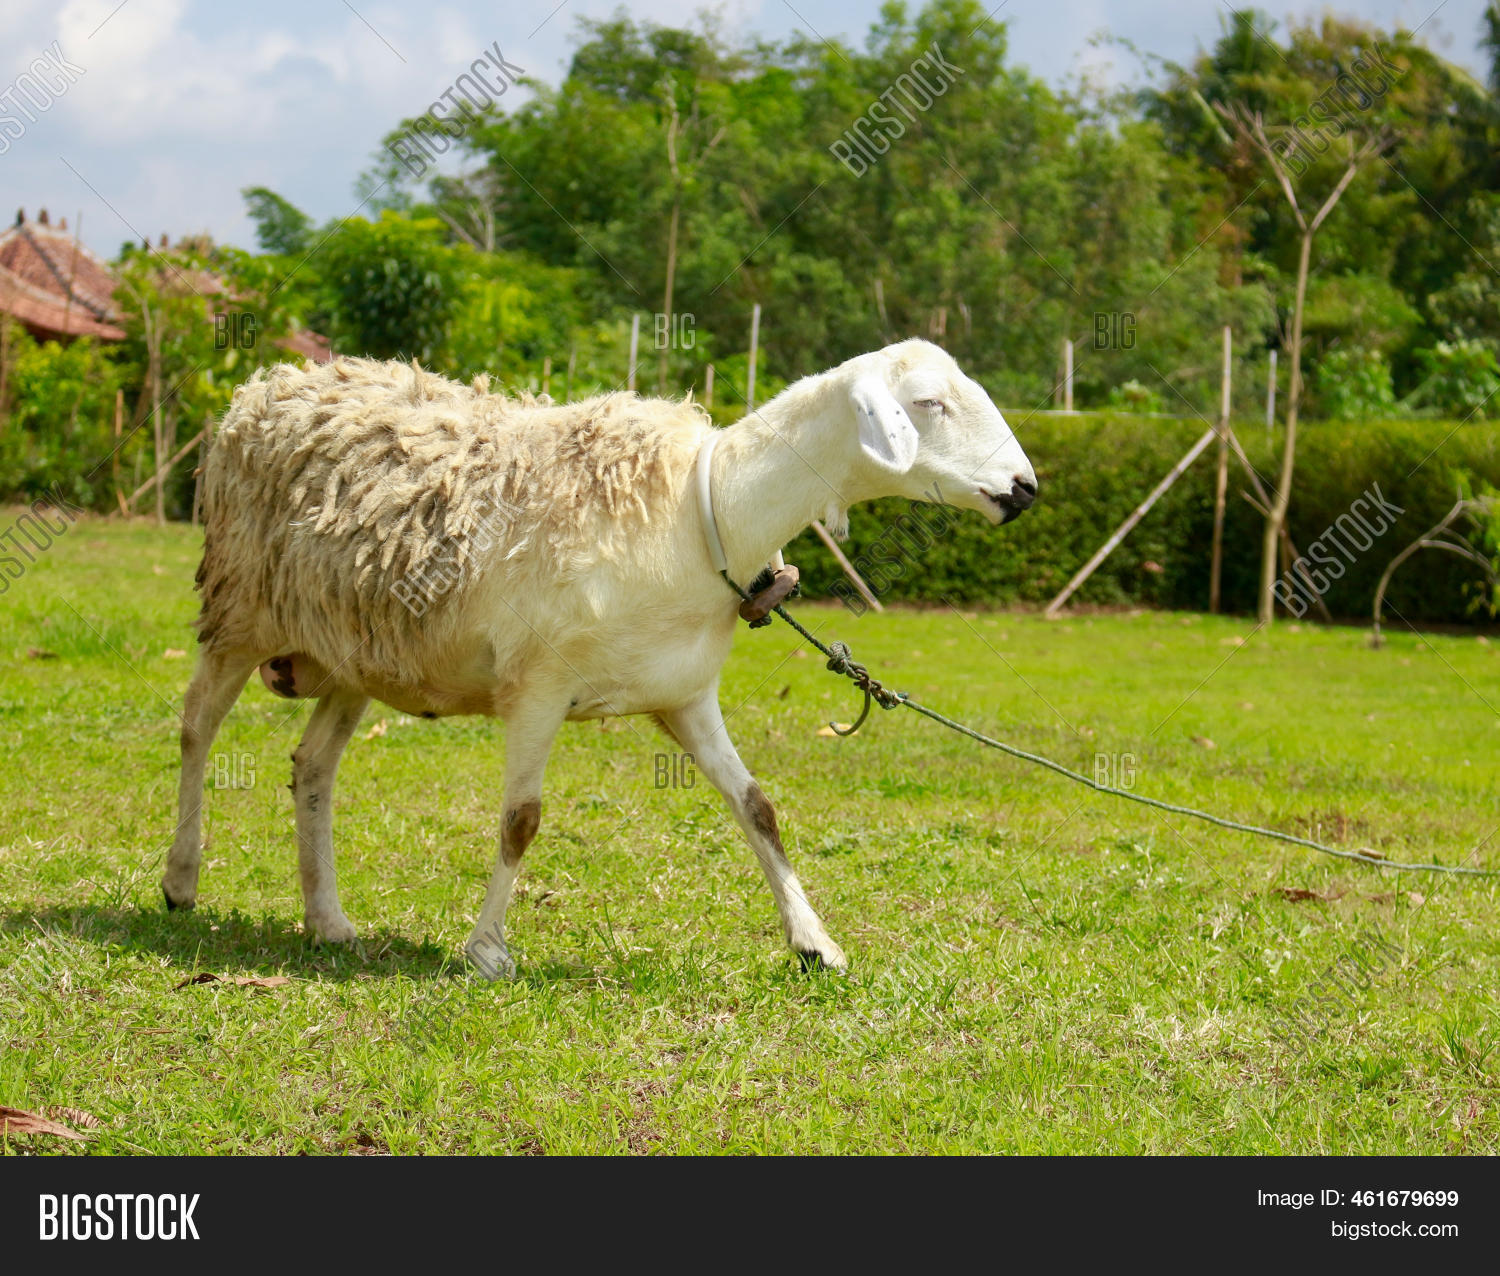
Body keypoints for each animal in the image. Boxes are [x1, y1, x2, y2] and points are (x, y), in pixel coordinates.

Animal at [163, 339, 1037, 975]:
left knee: (311, 766)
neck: (705, 507)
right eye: (928, 403)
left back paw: (328, 919)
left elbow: (758, 807)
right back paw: (180, 880)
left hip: (356, 649)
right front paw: (486, 951)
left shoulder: (685, 694)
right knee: (197, 726)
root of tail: (266, 387)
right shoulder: (538, 687)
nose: (1026, 489)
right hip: (241, 608)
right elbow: (520, 821)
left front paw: (814, 942)